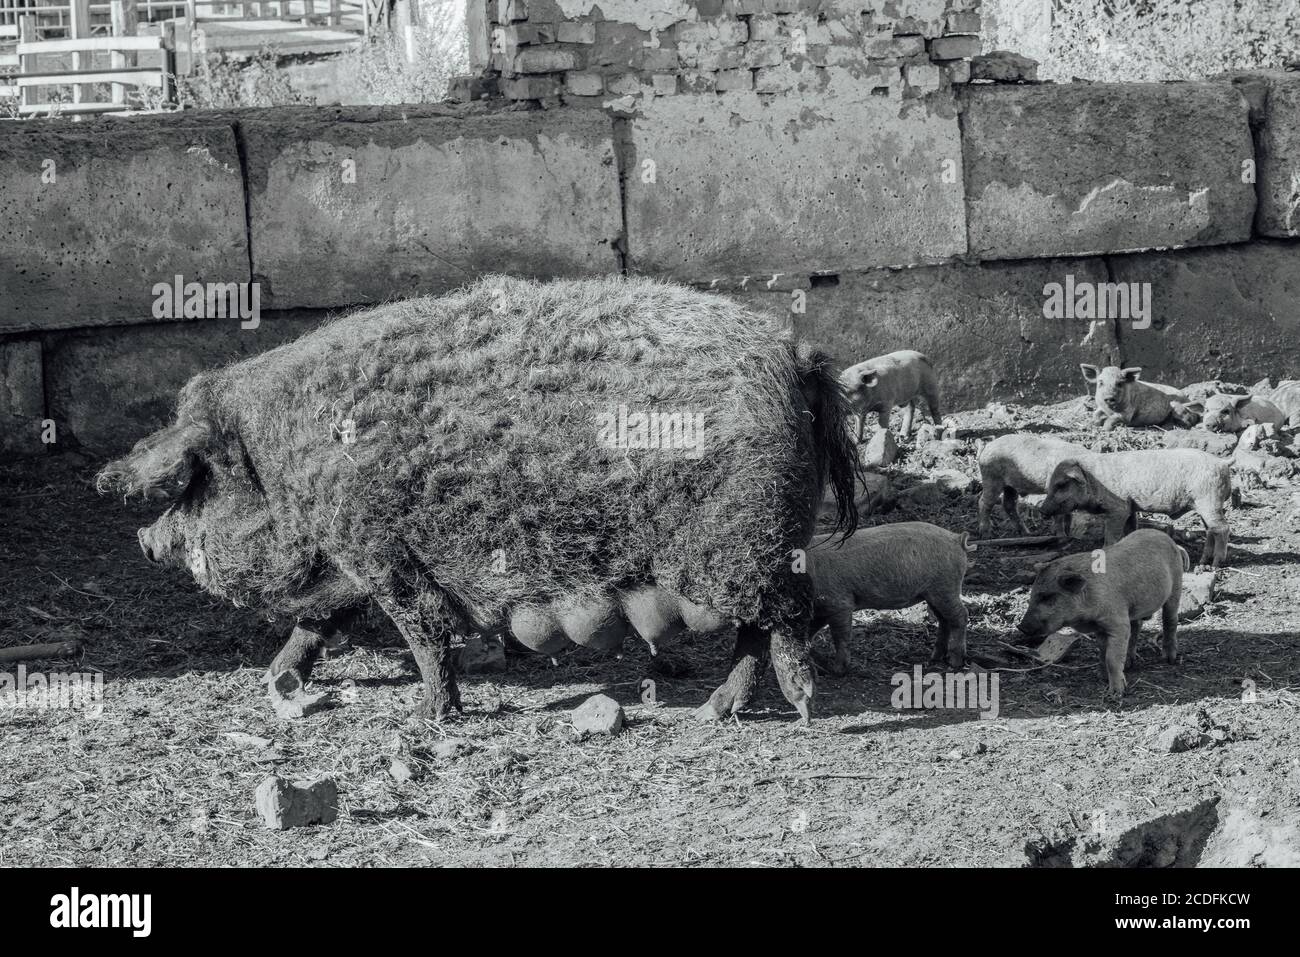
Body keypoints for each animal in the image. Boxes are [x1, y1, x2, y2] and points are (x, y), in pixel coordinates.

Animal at [804, 522, 970, 675]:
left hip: (945, 587)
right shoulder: (822, 609)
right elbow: (810, 631)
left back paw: (955, 662)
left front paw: (837, 670)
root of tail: (956, 538)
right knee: (944, 620)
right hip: (933, 593)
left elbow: (840, 637)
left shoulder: (840, 603)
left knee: (961, 615)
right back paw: (934, 658)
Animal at [1017, 529, 1187, 698]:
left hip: (1176, 586)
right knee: (1136, 626)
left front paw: (1116, 693)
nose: (1020, 627)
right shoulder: (1101, 627)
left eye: (1047, 597)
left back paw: (1169, 659)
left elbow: (1111, 658)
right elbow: (1102, 652)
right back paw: (1129, 664)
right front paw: (1102, 677)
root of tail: (1171, 541)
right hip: (1134, 608)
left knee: (1170, 620)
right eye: (1032, 595)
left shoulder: (1117, 622)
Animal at [1039, 448, 1232, 569]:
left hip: (1209, 500)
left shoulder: (1118, 508)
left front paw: (1106, 550)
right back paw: (1202, 562)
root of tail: (1222, 462)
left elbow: (1111, 536)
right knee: (1210, 530)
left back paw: (1215, 564)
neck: (1093, 483)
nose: (1042, 510)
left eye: (1061, 484)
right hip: (1204, 505)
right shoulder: (1131, 508)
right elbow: (1131, 528)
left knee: (1222, 528)